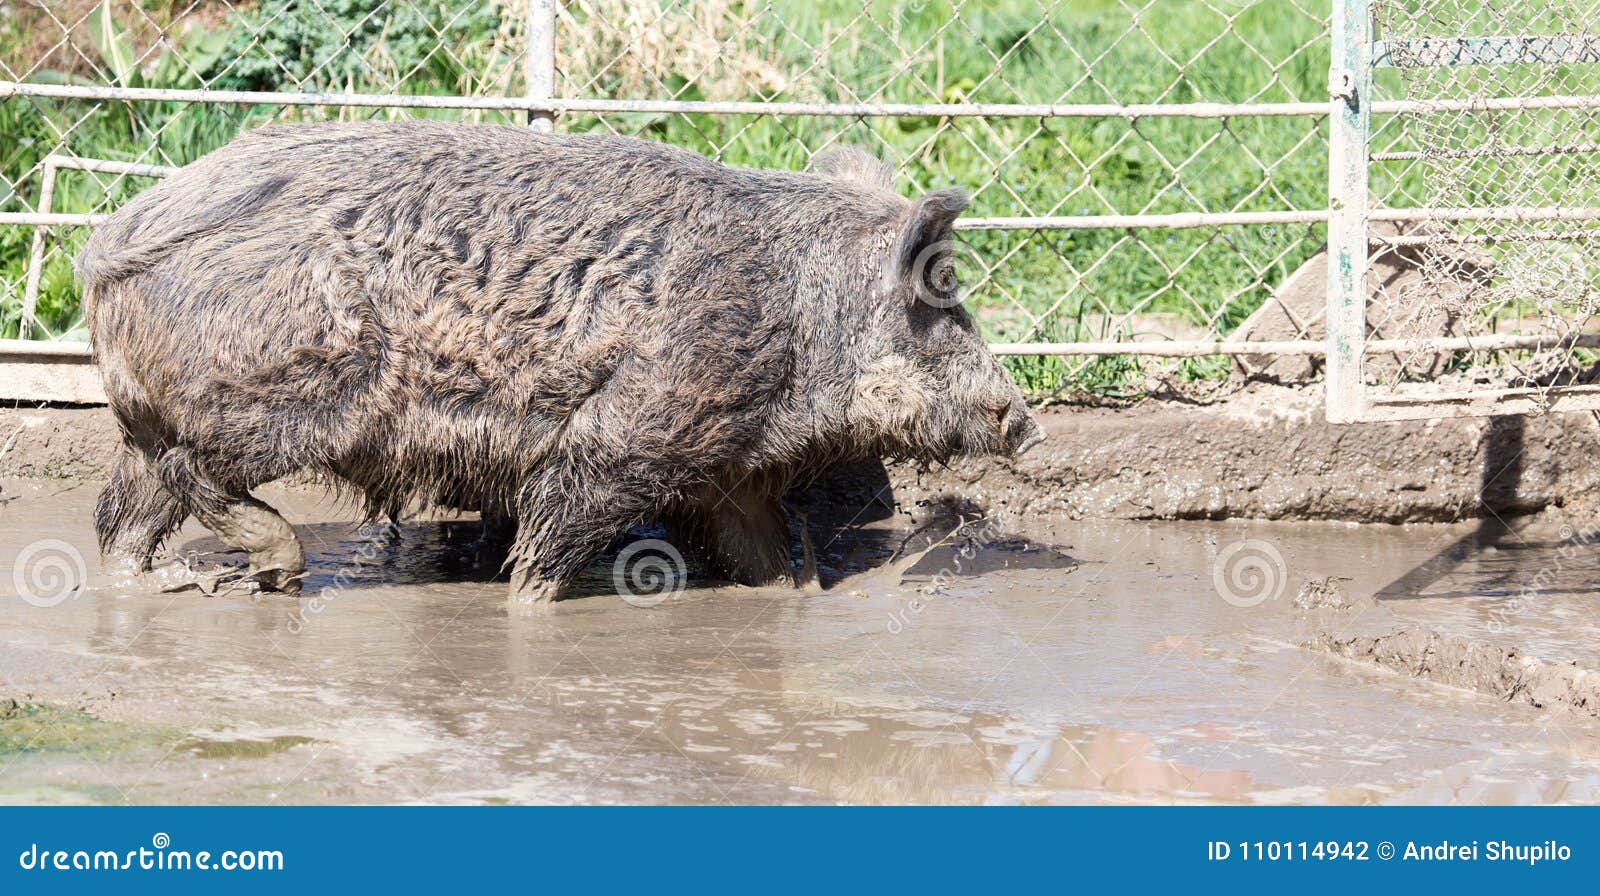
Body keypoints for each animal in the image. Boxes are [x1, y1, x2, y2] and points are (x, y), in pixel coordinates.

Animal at [78, 122, 1043, 605]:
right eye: (942, 296)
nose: (1027, 421)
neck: (795, 322)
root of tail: (117, 237)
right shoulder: (626, 436)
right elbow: (551, 540)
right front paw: (523, 607)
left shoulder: (727, 468)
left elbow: (767, 553)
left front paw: (798, 597)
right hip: (270, 399)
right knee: (193, 474)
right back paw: (274, 575)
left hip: (154, 418)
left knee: (122, 513)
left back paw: (173, 584)